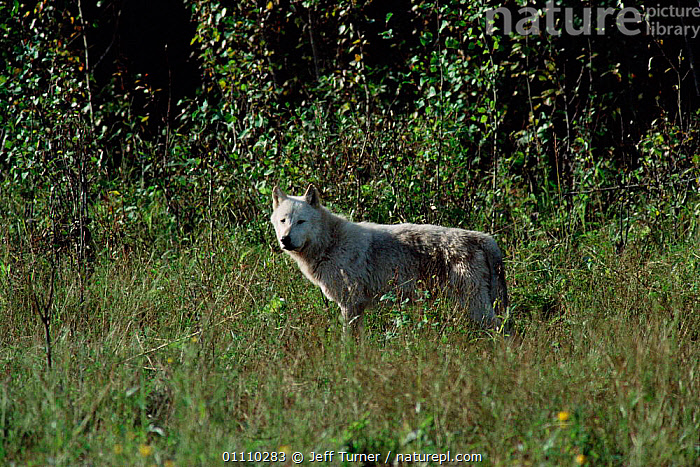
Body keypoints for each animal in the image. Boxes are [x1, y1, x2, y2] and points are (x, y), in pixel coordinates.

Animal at [270, 185, 508, 333]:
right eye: (283, 221)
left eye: (301, 221)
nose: (285, 239)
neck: (331, 244)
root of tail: (482, 237)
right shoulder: (357, 308)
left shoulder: (350, 305)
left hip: (475, 306)